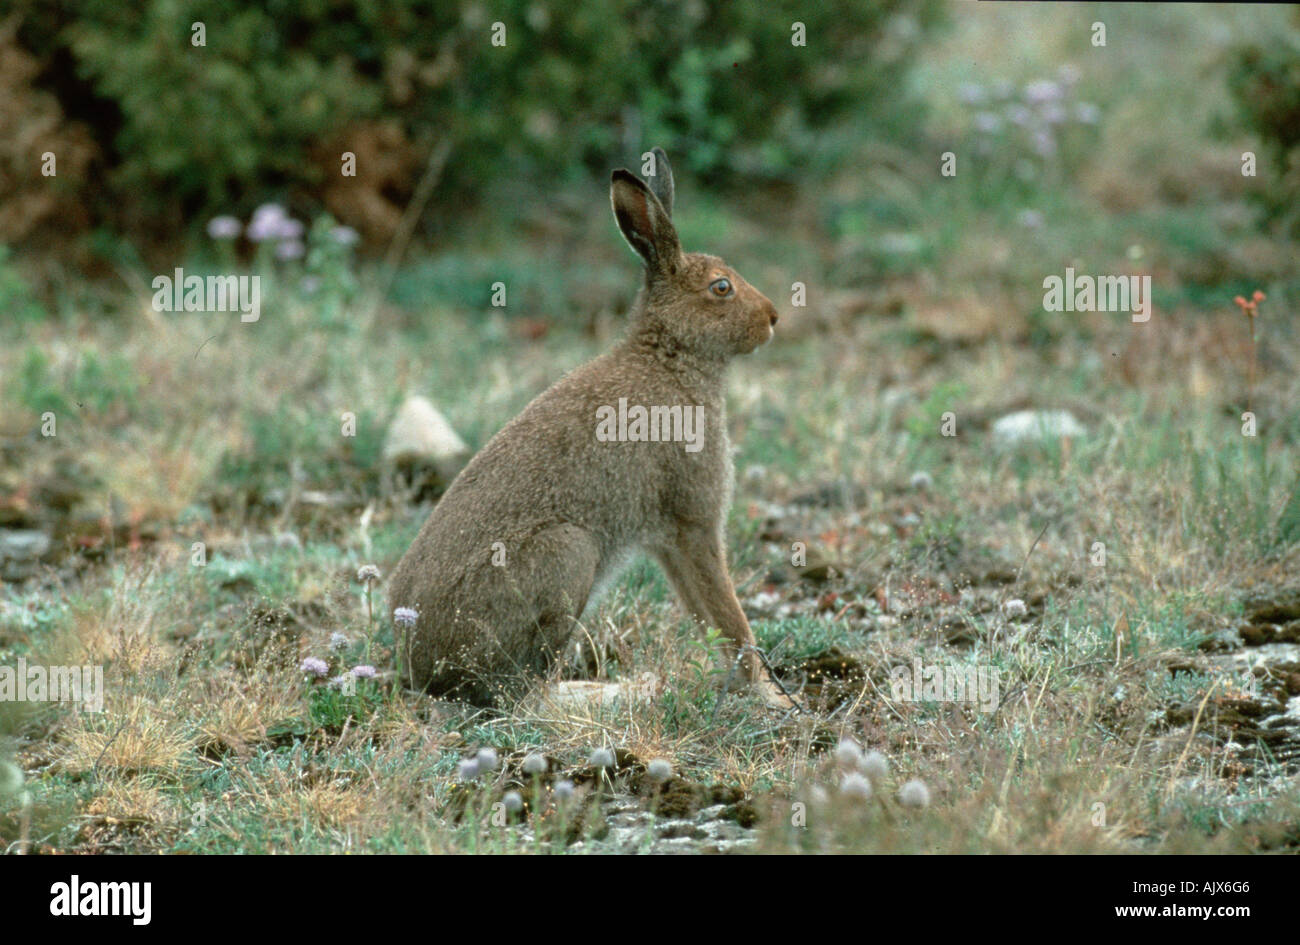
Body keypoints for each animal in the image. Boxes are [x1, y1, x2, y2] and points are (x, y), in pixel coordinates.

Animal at [387, 147, 796, 710]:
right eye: (721, 288)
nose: (773, 318)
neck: (669, 355)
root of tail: (420, 665)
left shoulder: (669, 541)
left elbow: (704, 614)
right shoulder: (694, 520)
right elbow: (729, 616)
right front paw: (772, 697)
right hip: (569, 552)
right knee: (523, 693)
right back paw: (624, 691)